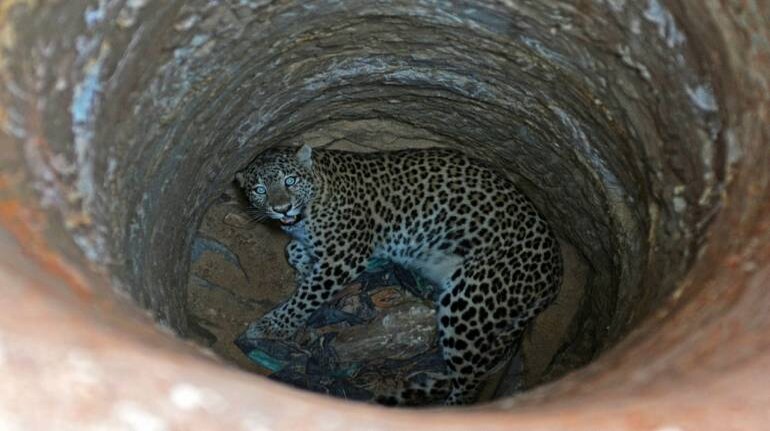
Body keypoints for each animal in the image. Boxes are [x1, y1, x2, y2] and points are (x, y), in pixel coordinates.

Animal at [234, 144, 562, 406]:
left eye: (289, 181)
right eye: (260, 190)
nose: (282, 208)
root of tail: (555, 274)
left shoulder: (345, 255)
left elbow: (306, 296)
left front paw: (270, 326)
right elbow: (293, 252)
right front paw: (302, 271)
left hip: (469, 300)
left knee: (468, 383)